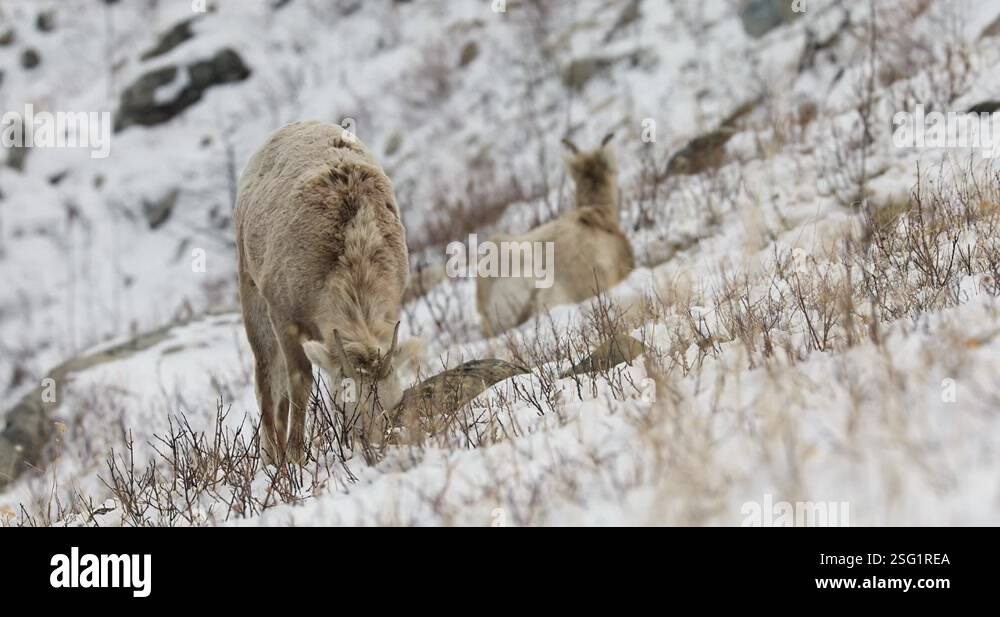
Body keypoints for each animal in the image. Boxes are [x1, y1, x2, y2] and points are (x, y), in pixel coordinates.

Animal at [235, 121, 420, 464]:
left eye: (392, 406)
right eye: (350, 410)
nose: (377, 453)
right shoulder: (284, 316)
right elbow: (299, 381)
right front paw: (295, 458)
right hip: (250, 289)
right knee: (266, 377)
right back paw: (271, 456)